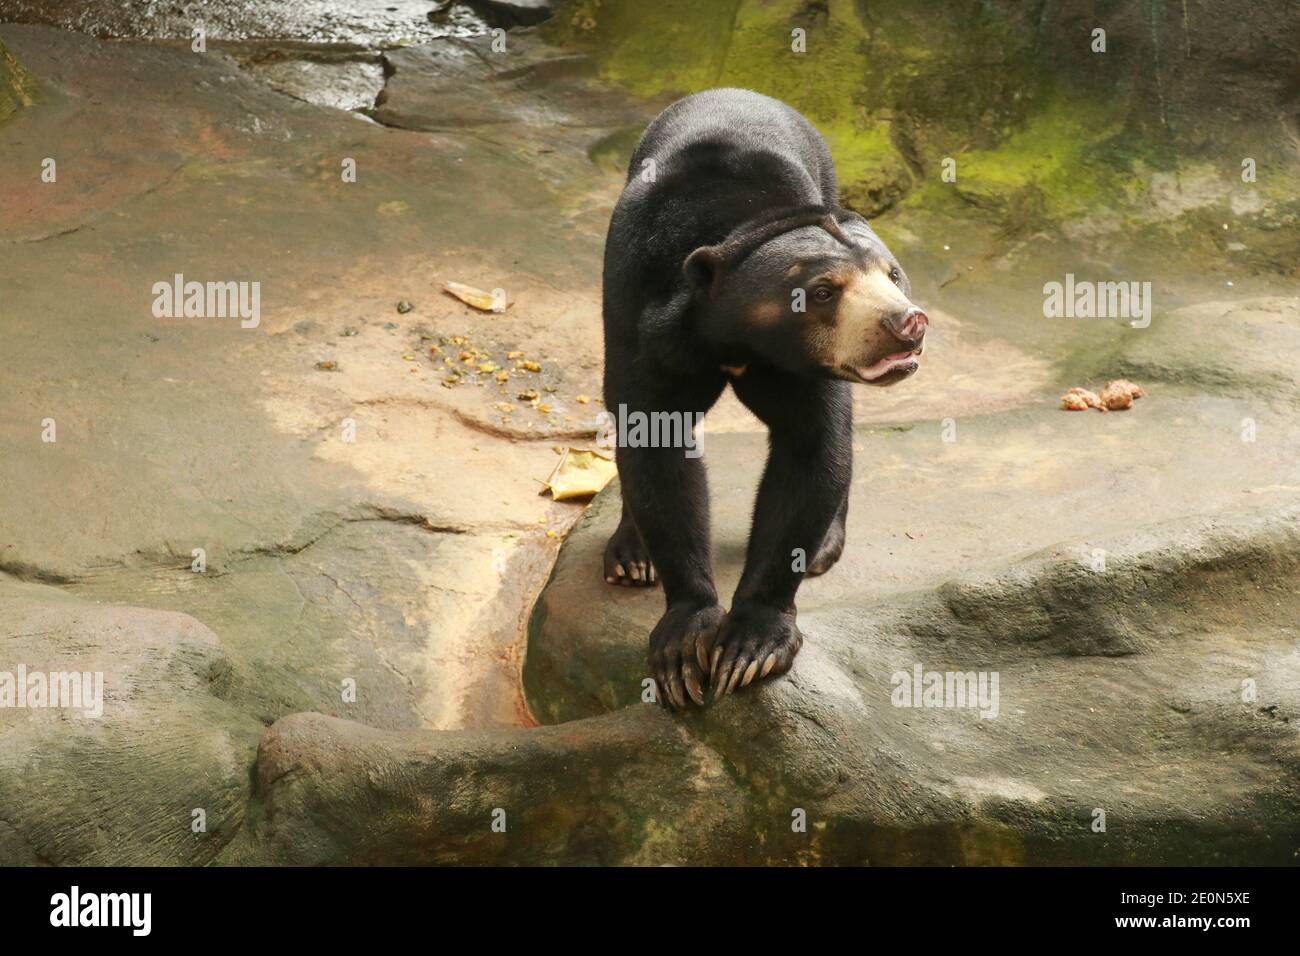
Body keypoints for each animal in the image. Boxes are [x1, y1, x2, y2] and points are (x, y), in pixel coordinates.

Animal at [600, 88, 928, 709]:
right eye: (822, 292)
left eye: (894, 274)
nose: (907, 324)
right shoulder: (639, 317)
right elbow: (653, 441)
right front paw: (684, 645)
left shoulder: (801, 368)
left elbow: (811, 449)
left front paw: (748, 646)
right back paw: (631, 557)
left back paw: (825, 546)